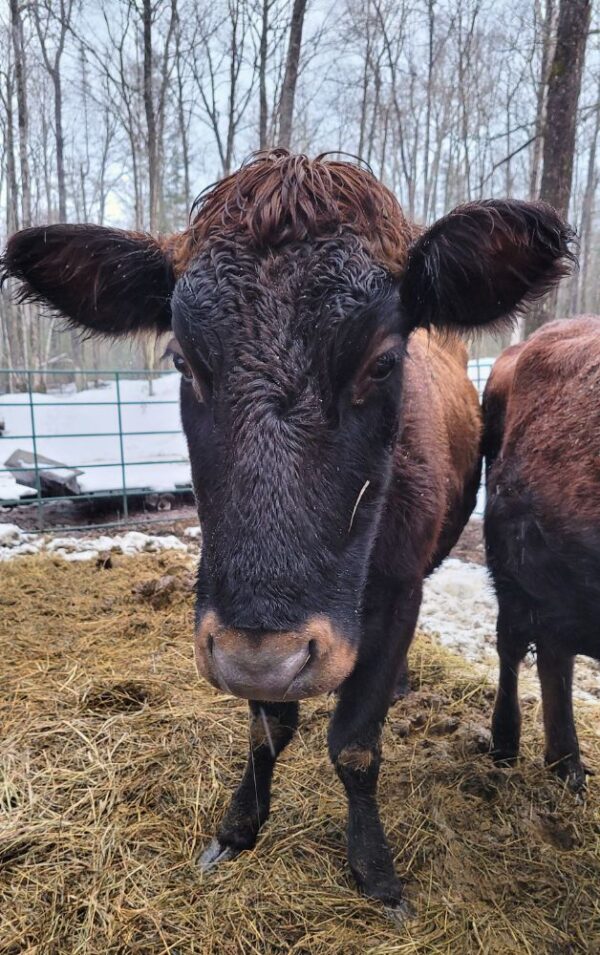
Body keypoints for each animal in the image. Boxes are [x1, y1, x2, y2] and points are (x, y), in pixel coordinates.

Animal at [1, 150, 573, 912]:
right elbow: (267, 729)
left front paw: (374, 870)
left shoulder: (397, 592)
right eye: (182, 359)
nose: (263, 658)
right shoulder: (247, 637)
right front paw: (239, 827)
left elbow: (355, 743)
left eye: (382, 361)